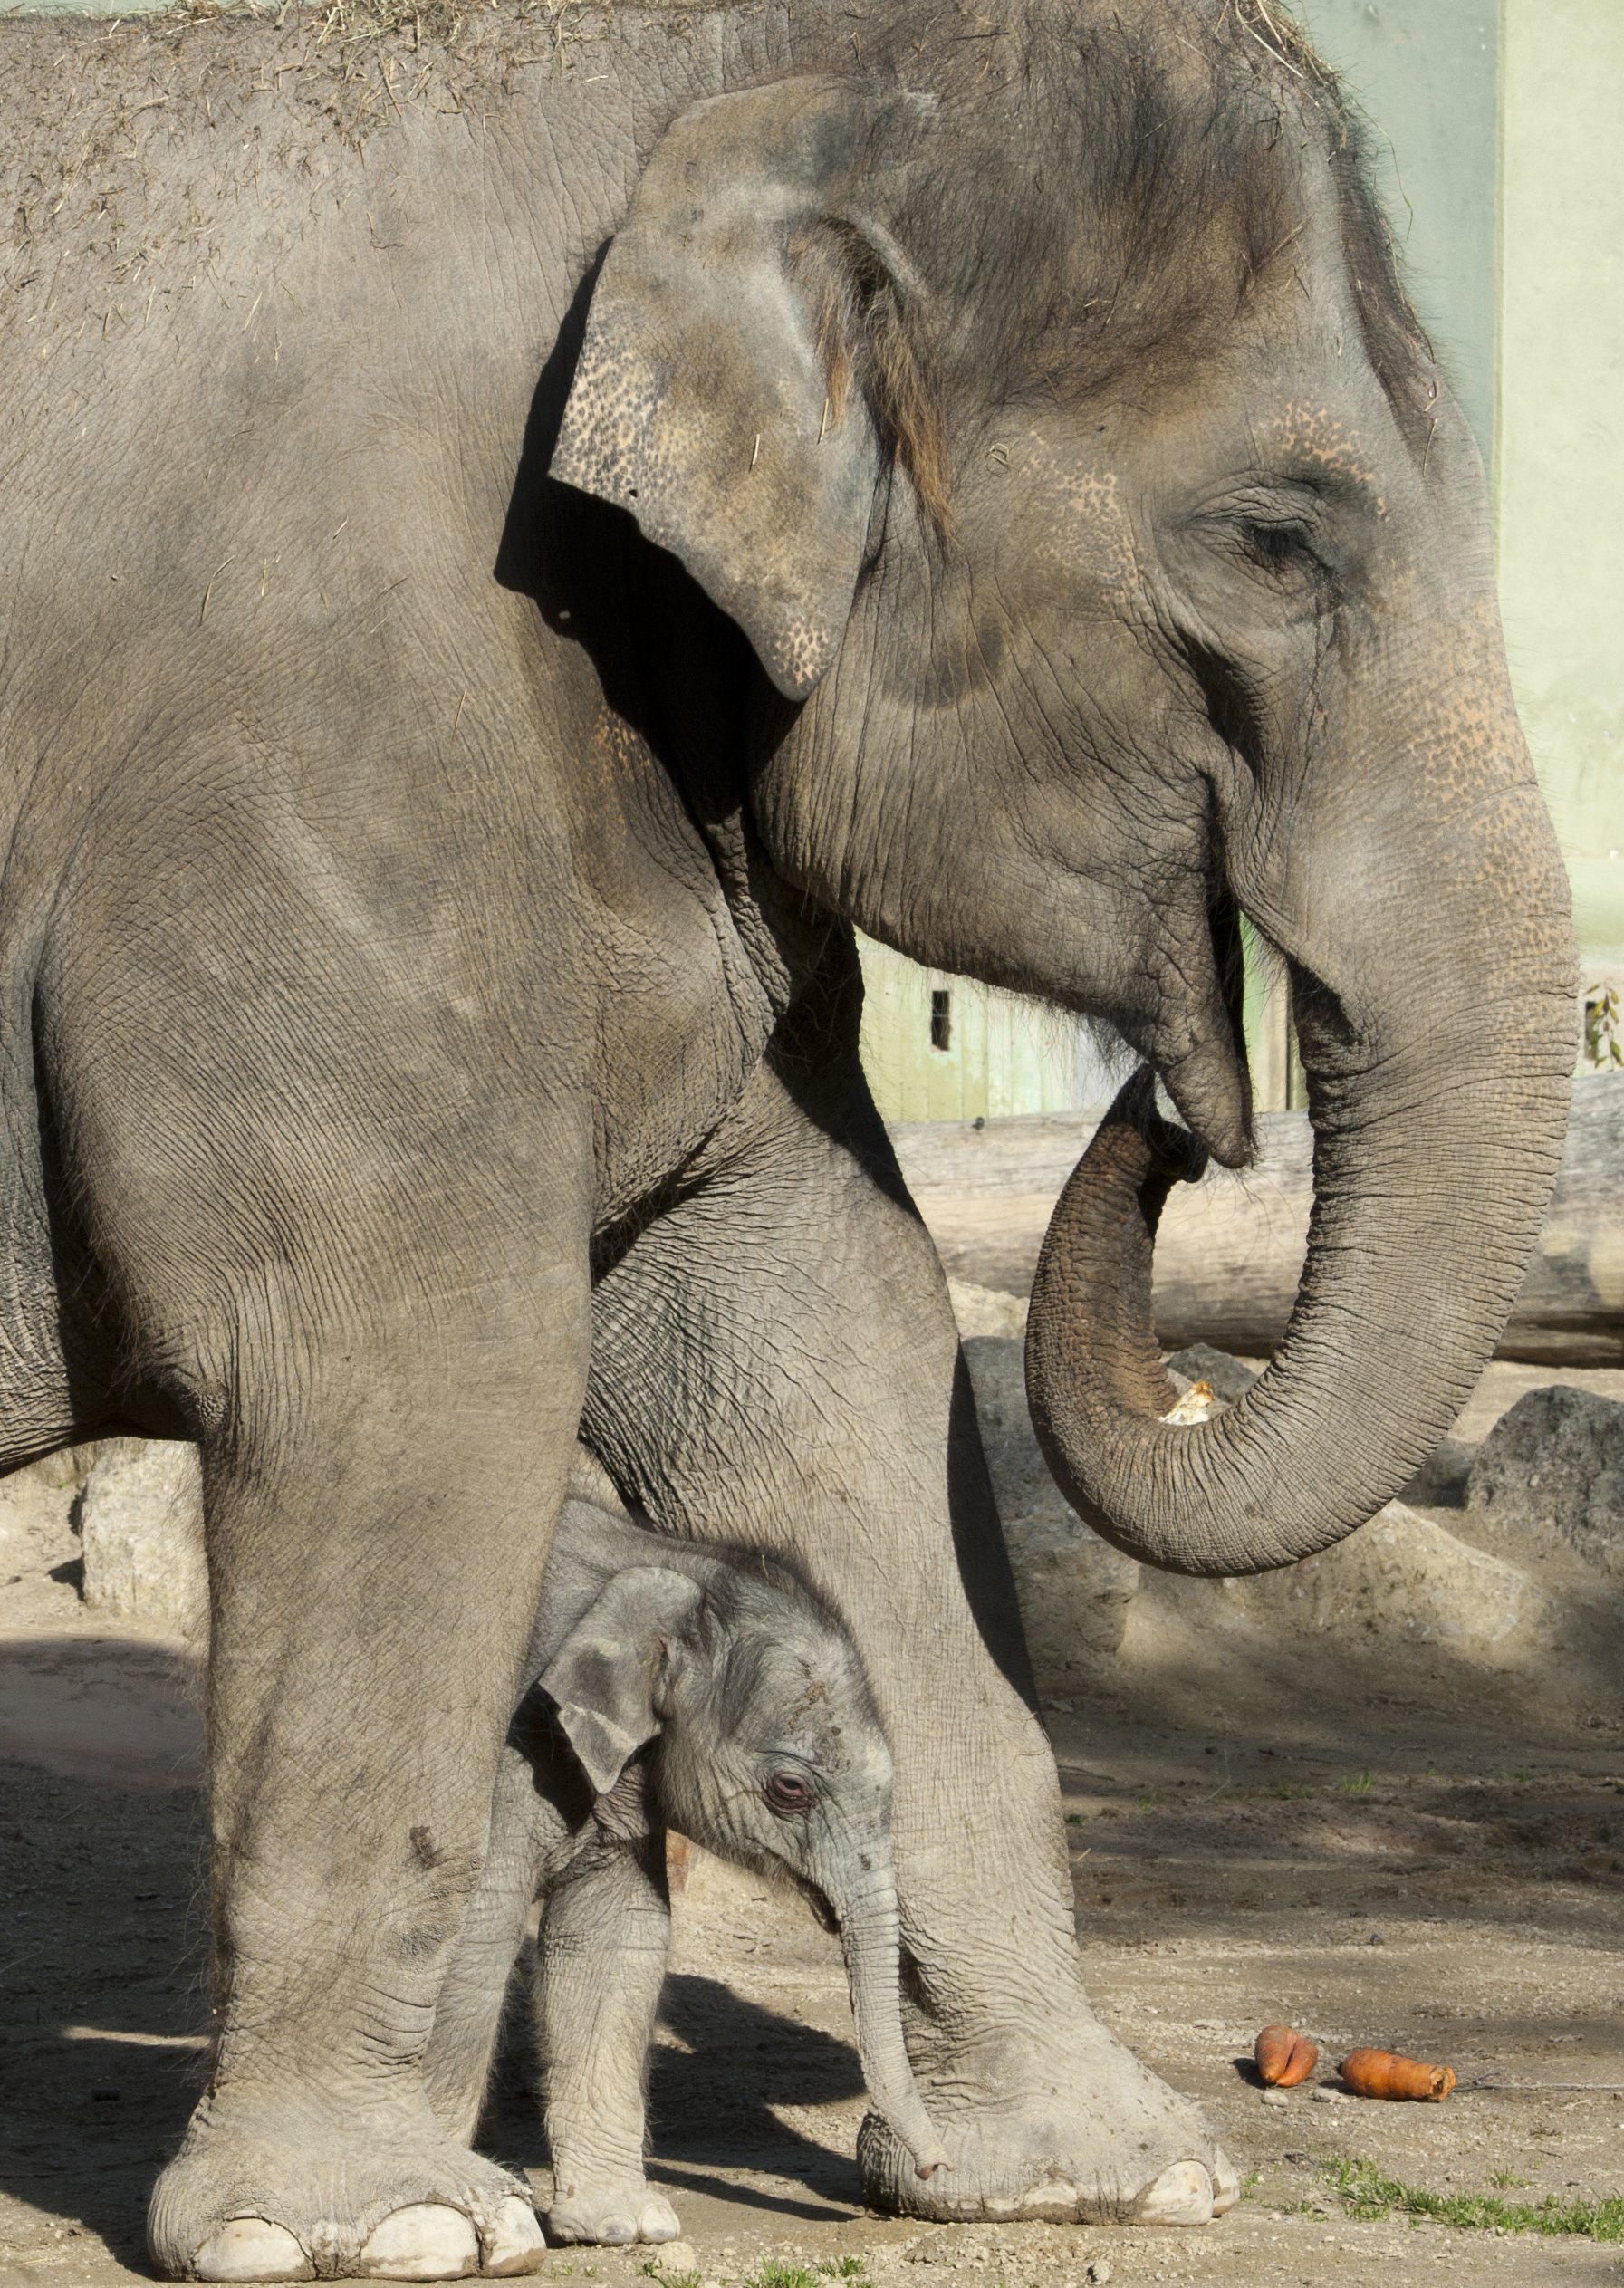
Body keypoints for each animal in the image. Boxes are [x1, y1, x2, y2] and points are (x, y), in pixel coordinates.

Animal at [423, 1461, 946, 2250]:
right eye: (790, 1788)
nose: (935, 2167)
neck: (668, 1562)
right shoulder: (505, 1743)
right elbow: (472, 1931)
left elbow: (612, 1939)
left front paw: (624, 2226)